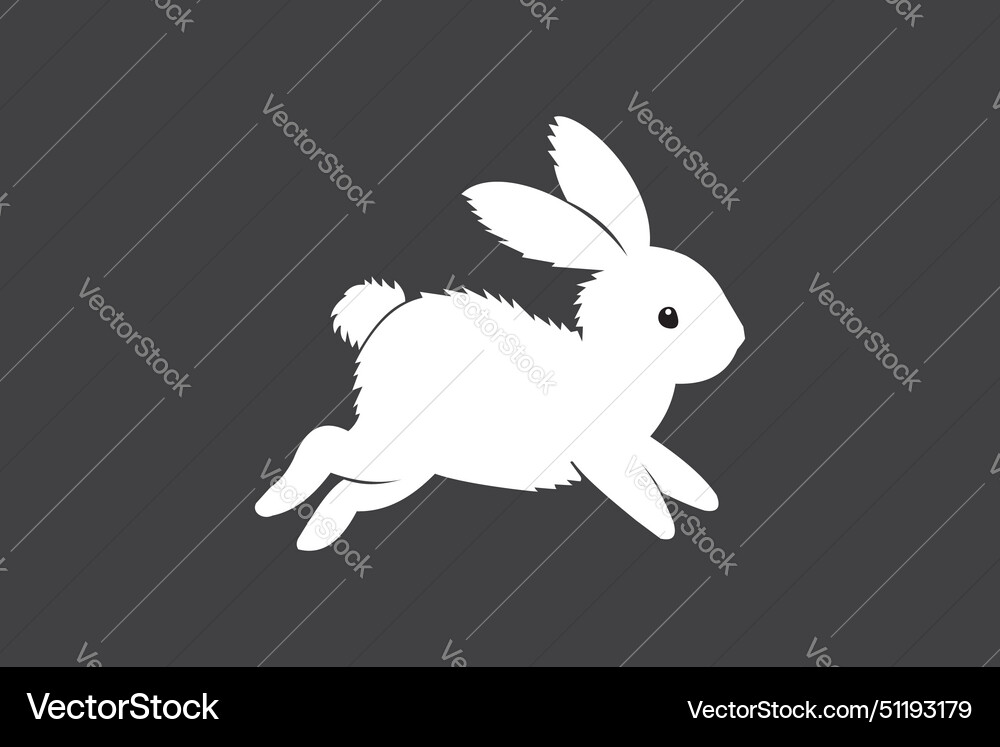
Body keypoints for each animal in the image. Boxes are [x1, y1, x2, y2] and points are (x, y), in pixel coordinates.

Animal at [255, 116, 745, 550]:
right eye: (669, 316)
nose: (738, 340)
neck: (615, 366)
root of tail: (385, 318)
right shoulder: (601, 454)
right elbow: (636, 489)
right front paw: (663, 526)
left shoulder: (633, 443)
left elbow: (665, 462)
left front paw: (703, 495)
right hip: (392, 444)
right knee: (322, 443)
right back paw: (272, 504)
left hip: (409, 469)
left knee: (350, 491)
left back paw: (315, 538)